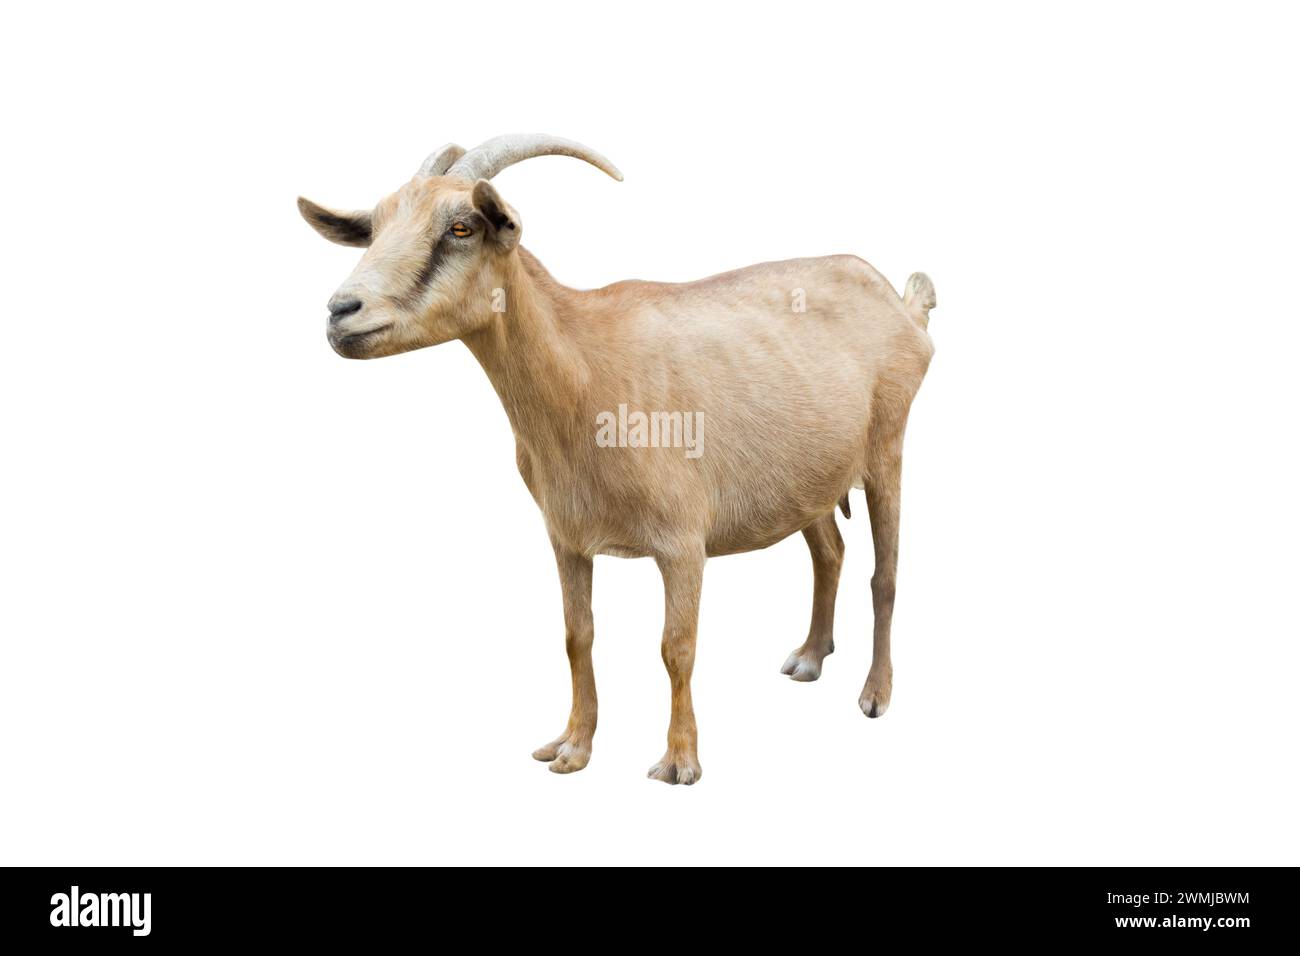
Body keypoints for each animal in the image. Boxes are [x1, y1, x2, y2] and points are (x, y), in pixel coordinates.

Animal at [299, 134, 936, 785]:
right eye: (376, 225)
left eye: (461, 227)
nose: (342, 311)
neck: (585, 369)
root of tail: (902, 307)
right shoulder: (567, 536)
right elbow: (577, 636)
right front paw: (570, 748)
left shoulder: (683, 541)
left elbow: (676, 647)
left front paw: (680, 763)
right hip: (811, 477)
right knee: (829, 552)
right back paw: (809, 657)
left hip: (887, 447)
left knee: (884, 575)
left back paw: (874, 694)